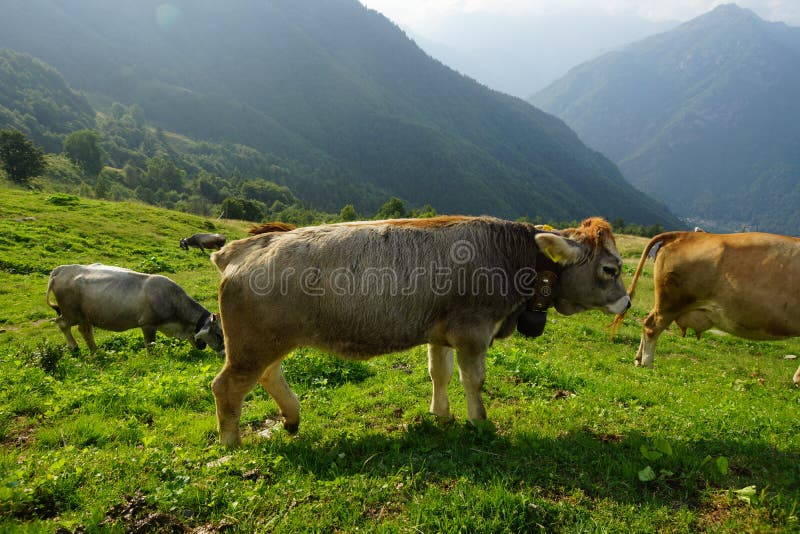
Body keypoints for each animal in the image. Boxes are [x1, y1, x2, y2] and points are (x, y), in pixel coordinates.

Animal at [47, 264, 225, 355]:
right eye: (218, 334)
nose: (225, 354)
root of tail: (62, 269)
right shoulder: (148, 324)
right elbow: (150, 345)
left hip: (85, 315)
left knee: (84, 330)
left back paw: (95, 351)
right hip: (71, 312)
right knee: (62, 323)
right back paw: (75, 347)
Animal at [209, 216, 631, 447]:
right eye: (610, 269)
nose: (627, 303)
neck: (514, 258)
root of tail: (244, 245)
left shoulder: (440, 333)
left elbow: (438, 373)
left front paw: (441, 415)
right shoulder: (473, 331)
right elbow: (473, 380)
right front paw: (480, 422)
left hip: (266, 342)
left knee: (267, 375)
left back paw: (292, 419)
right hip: (251, 345)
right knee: (226, 386)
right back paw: (232, 442)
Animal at [612, 230, 800, 369]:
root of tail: (684, 234)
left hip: (666, 303)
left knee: (647, 322)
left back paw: (638, 359)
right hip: (671, 303)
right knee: (651, 327)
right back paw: (647, 363)